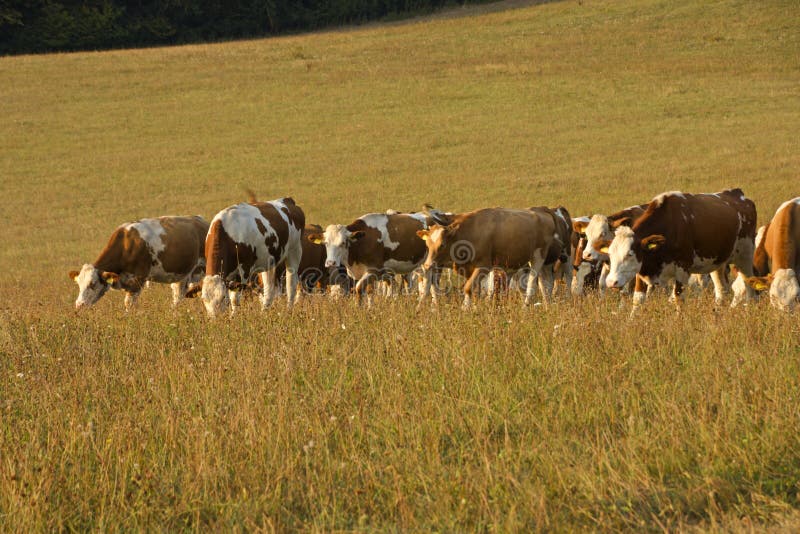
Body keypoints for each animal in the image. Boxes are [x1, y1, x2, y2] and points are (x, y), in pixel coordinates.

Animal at [68, 216, 209, 310]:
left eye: (92, 284)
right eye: (78, 284)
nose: (79, 305)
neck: (126, 244)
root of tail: (201, 220)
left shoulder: (137, 281)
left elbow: (129, 304)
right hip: (183, 276)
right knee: (179, 295)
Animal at [307, 210, 445, 305]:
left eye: (343, 243)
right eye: (326, 243)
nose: (330, 263)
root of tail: (432, 219)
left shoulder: (374, 270)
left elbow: (359, 288)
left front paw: (359, 308)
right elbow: (369, 291)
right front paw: (370, 308)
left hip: (432, 265)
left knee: (430, 286)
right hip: (421, 267)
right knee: (428, 286)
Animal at [416, 207, 562, 308]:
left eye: (442, 245)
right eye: (427, 245)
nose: (428, 265)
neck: (468, 232)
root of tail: (540, 211)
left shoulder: (484, 266)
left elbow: (468, 287)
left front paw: (465, 308)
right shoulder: (468, 268)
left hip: (538, 256)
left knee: (532, 283)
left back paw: (525, 307)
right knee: (544, 283)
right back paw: (547, 305)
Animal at [604, 189, 756, 310]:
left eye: (629, 254)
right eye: (610, 254)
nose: (611, 282)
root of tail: (738, 194)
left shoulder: (682, 270)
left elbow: (678, 299)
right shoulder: (642, 269)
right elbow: (638, 299)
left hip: (745, 257)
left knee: (750, 287)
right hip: (718, 263)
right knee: (721, 290)